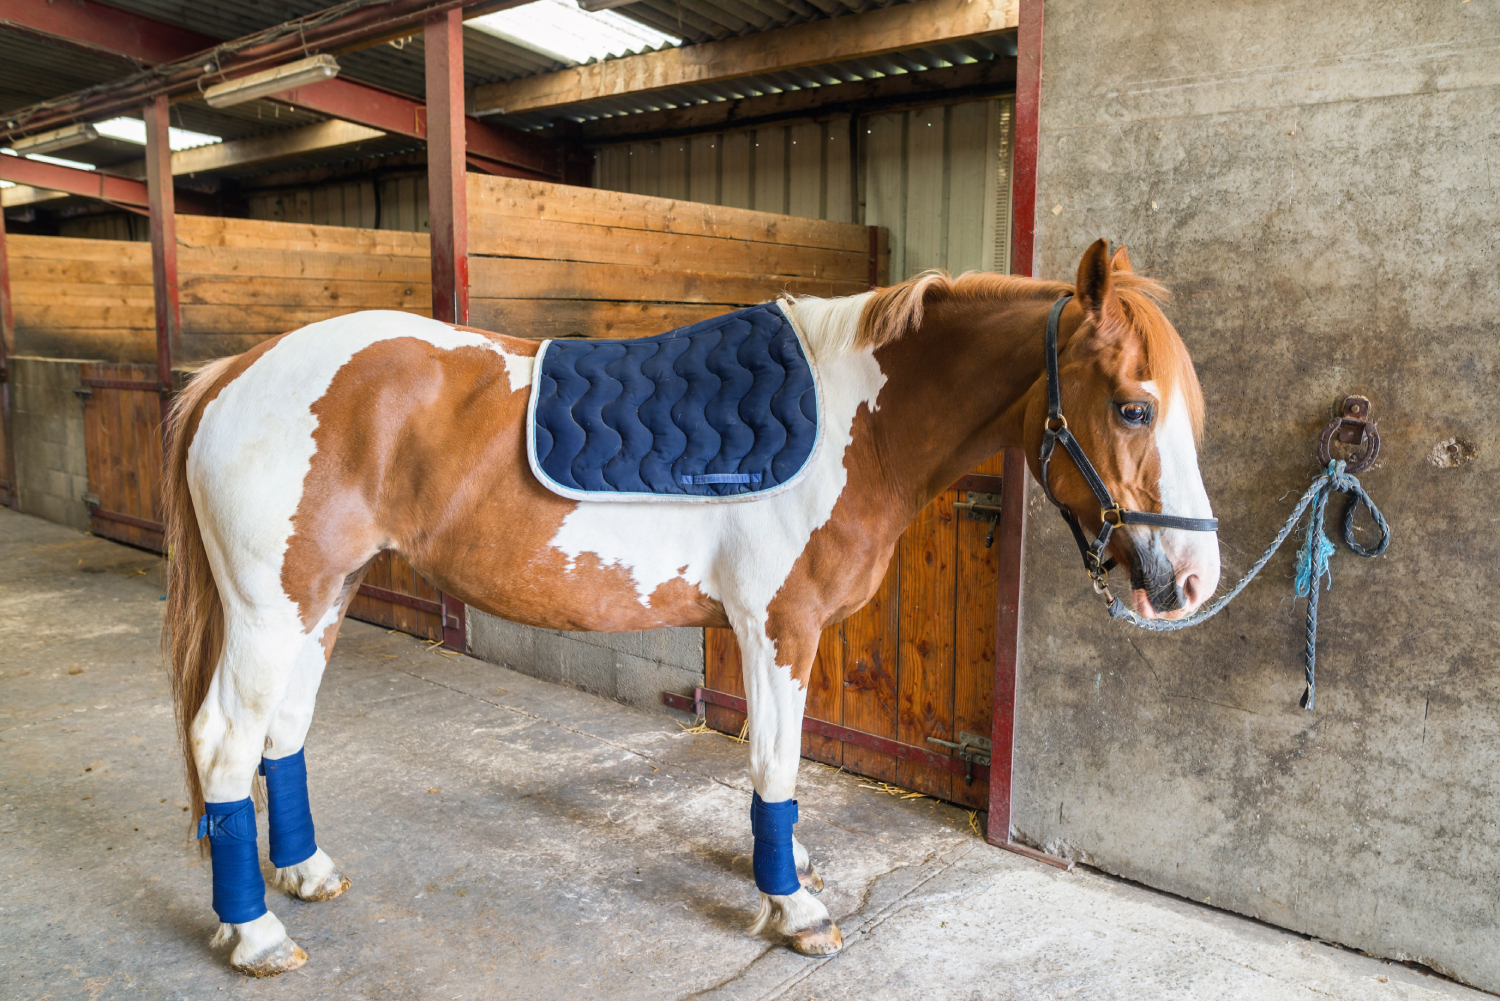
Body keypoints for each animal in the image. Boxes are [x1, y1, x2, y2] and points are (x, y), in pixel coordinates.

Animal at [161, 238, 1219, 975]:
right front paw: (795, 909)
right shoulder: (777, 628)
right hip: (271, 609)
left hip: (323, 599)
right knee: (223, 742)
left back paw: (305, 873)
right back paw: (254, 931)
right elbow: (775, 767)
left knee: (284, 732)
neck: (857, 421)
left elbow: (776, 769)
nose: (1192, 582)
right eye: (1132, 406)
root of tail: (235, 374)